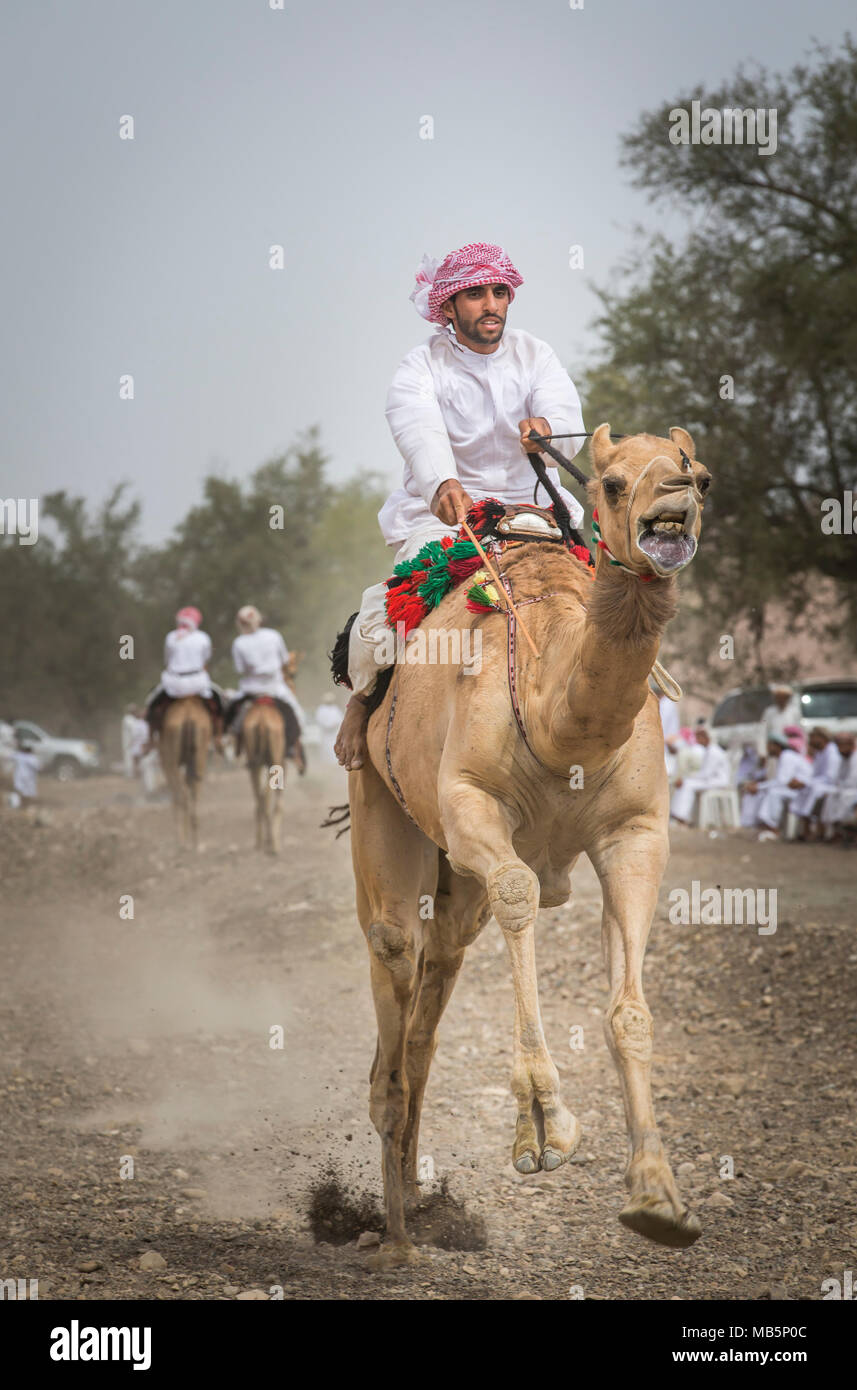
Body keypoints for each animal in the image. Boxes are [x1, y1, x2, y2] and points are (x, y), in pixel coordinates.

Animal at [159, 696, 212, 849]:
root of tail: (188, 716)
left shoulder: (166, 763)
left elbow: (175, 797)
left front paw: (179, 839)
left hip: (173, 761)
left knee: (182, 795)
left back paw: (183, 841)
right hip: (200, 758)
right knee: (193, 793)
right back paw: (195, 840)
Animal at [243, 698, 287, 853]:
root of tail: (261, 721)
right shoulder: (280, 763)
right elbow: (278, 802)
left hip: (253, 762)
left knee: (258, 795)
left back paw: (259, 841)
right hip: (274, 761)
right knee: (266, 796)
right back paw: (273, 845)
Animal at [347, 425, 712, 1266]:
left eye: (700, 474)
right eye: (610, 483)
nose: (674, 501)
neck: (555, 717)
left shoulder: (635, 834)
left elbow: (629, 1011)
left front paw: (657, 1197)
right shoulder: (470, 804)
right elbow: (519, 890)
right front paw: (543, 1128)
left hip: (455, 893)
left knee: (433, 987)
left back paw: (415, 1203)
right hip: (381, 798)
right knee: (394, 954)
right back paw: (395, 1237)